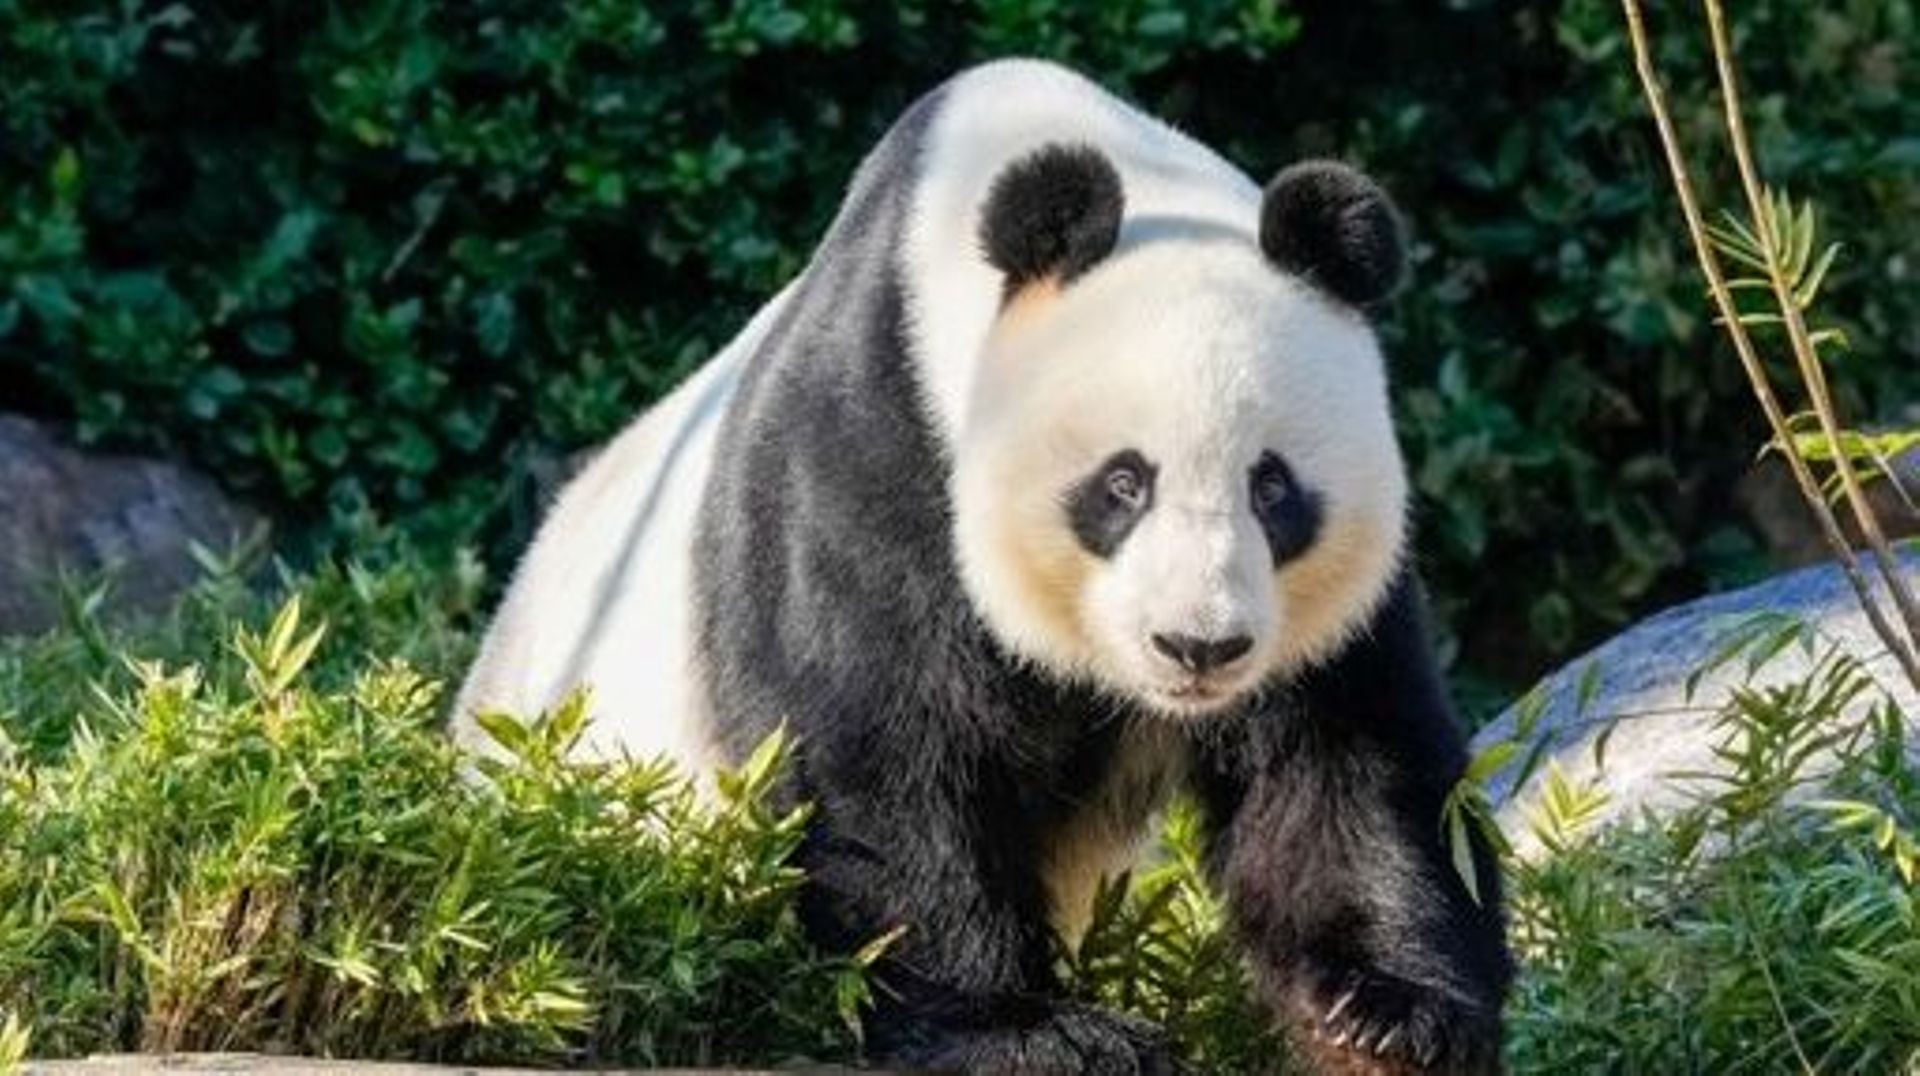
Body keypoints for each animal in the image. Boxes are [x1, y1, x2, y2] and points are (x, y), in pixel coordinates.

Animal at [453, 59, 1512, 1075]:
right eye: (1122, 483)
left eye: (1274, 488)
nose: (1199, 647)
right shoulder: (876, 443)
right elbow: (880, 755)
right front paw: (1031, 1031)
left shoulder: (1326, 608)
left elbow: (1344, 759)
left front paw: (1386, 1012)